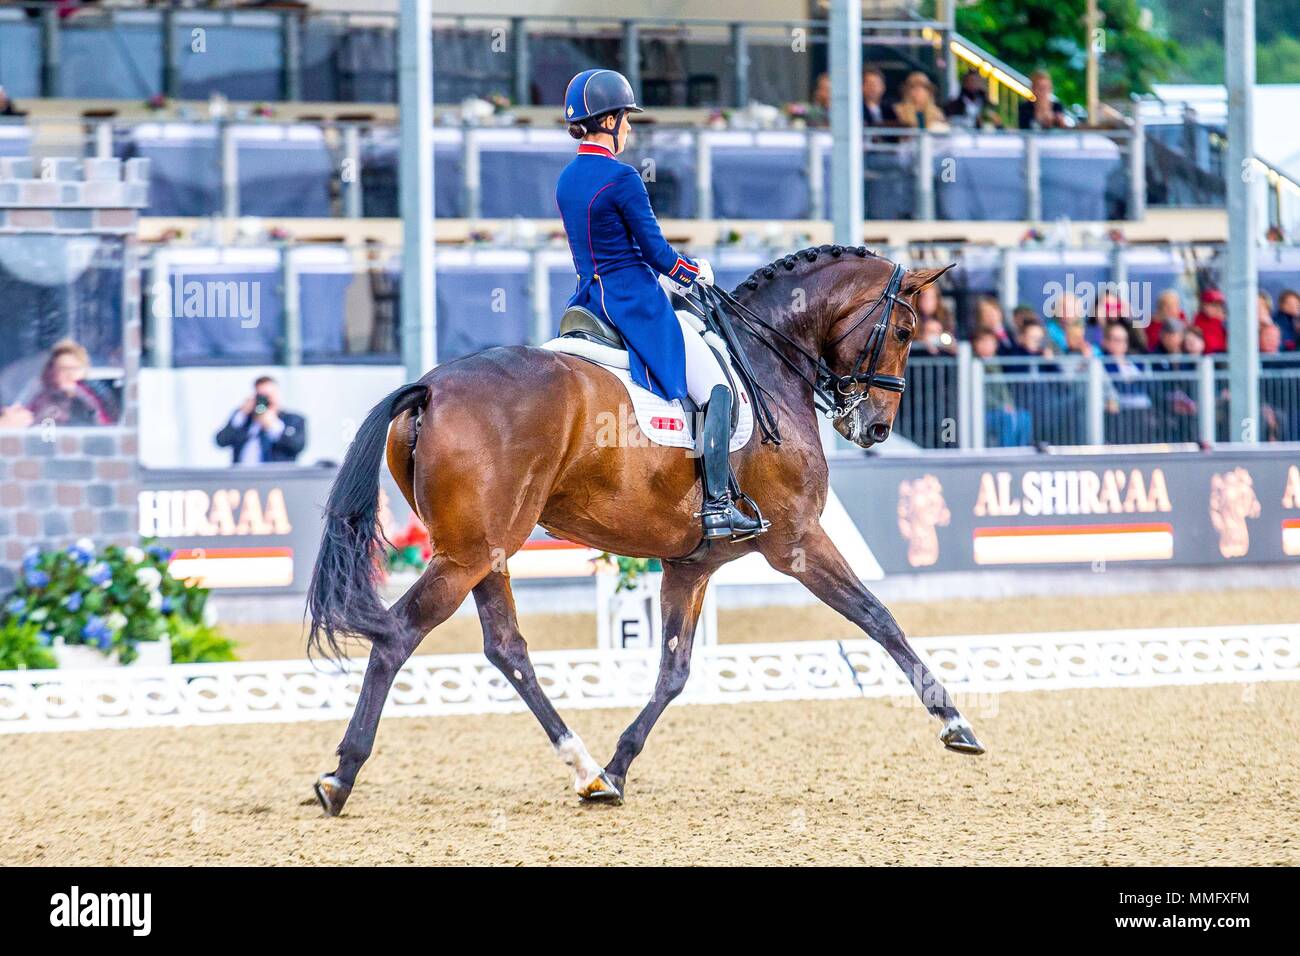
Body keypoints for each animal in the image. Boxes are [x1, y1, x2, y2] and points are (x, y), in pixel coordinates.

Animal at [306, 243, 983, 816]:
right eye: (906, 331)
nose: (874, 427)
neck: (765, 359)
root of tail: (429, 386)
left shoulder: (692, 563)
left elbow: (674, 671)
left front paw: (620, 765)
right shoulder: (796, 541)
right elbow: (879, 618)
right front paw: (955, 723)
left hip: (483, 550)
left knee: (506, 647)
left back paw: (588, 773)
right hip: (469, 552)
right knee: (399, 634)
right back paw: (340, 776)